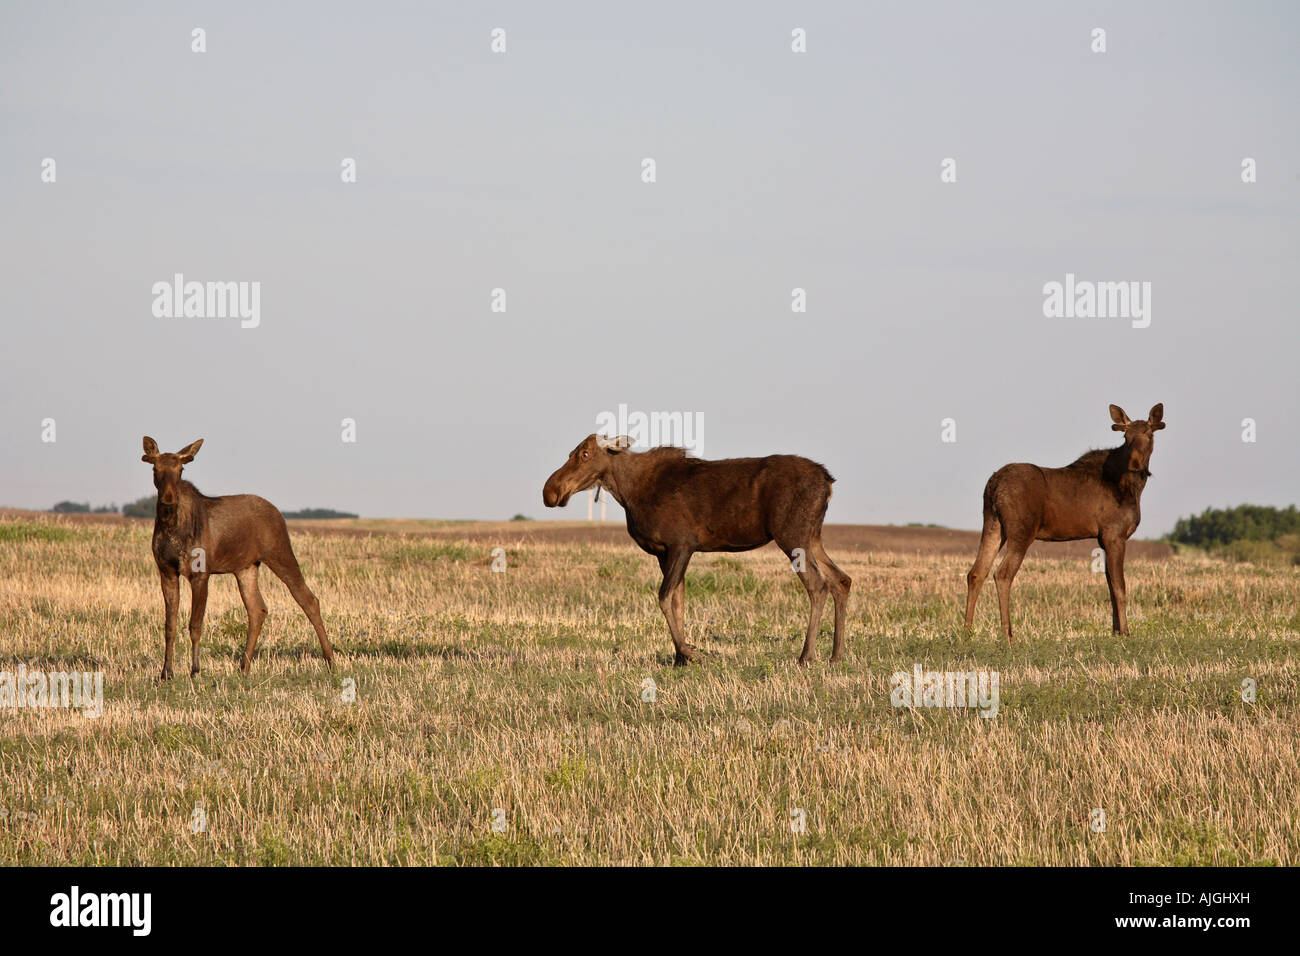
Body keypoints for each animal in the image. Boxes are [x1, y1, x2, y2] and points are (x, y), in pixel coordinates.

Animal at [140, 437, 335, 678]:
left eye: (181, 469)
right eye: (155, 469)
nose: (168, 499)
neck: (171, 526)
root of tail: (279, 513)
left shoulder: (200, 573)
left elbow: (195, 625)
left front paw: (195, 670)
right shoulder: (166, 571)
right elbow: (170, 625)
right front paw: (166, 672)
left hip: (280, 552)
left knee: (308, 599)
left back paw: (330, 660)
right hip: (246, 567)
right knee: (258, 609)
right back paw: (244, 666)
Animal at [542, 434, 851, 665]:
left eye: (584, 454)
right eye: (573, 452)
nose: (551, 491)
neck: (628, 492)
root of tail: (828, 482)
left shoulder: (682, 544)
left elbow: (665, 598)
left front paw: (692, 652)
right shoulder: (664, 552)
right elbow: (678, 600)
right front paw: (681, 658)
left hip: (792, 536)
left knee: (818, 585)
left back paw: (806, 656)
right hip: (812, 538)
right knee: (841, 580)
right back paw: (836, 655)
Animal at [964, 403, 1166, 642]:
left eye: (1149, 434)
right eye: (1126, 437)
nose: (1135, 464)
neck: (1135, 488)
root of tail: (993, 486)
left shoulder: (1103, 539)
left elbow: (1109, 584)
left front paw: (1115, 631)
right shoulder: (1114, 534)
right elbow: (1120, 586)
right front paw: (1125, 632)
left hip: (993, 524)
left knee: (976, 572)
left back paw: (966, 632)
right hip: (1021, 531)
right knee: (1002, 574)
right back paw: (1008, 635)